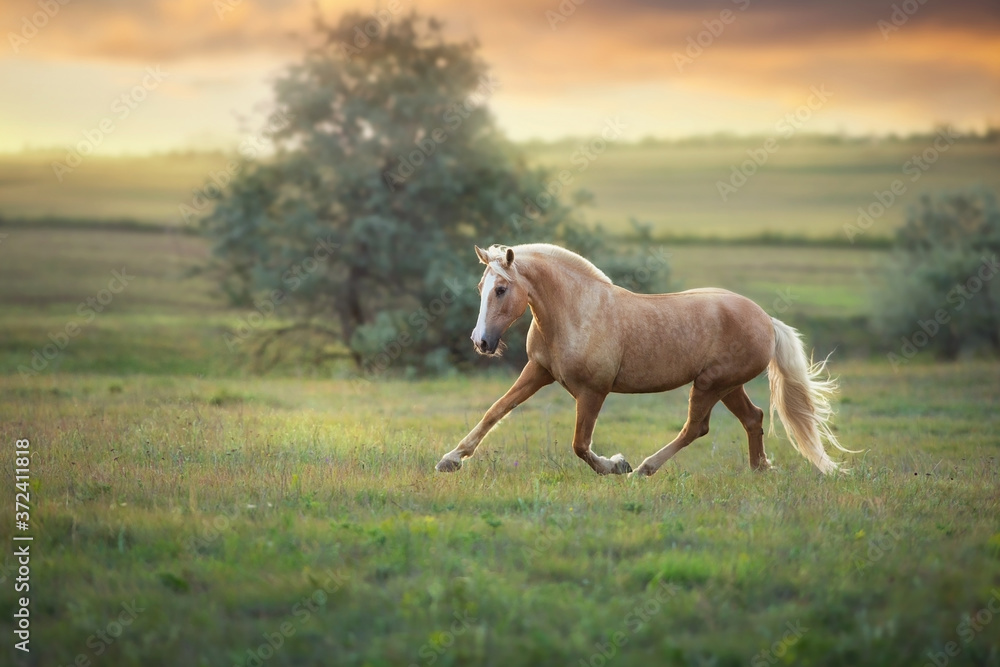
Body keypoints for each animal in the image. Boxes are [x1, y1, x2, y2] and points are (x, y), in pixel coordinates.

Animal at [435, 243, 853, 478]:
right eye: (481, 287)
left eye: (502, 289)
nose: (481, 342)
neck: (575, 311)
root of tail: (767, 320)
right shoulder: (538, 372)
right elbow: (495, 411)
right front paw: (451, 459)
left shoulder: (594, 391)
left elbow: (580, 444)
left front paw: (616, 465)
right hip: (727, 385)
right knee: (753, 418)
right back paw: (759, 469)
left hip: (711, 384)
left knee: (696, 428)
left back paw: (644, 468)